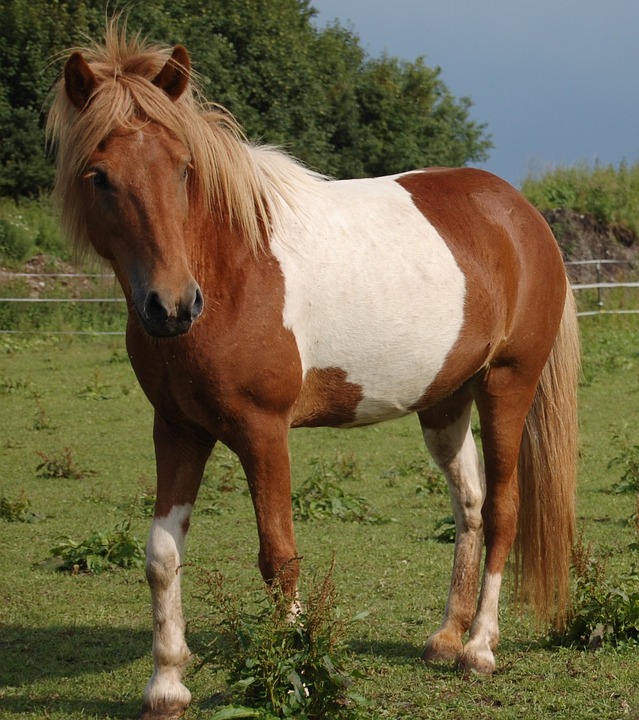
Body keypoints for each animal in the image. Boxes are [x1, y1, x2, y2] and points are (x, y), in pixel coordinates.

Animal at [47, 26, 580, 720]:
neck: (229, 267)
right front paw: (166, 684)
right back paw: (446, 636)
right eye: (100, 177)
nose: (173, 306)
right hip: (444, 402)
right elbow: (162, 554)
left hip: (506, 385)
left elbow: (279, 556)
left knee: (505, 510)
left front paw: (298, 676)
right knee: (470, 504)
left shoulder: (262, 431)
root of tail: (522, 214)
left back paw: (481, 648)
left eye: (184, 170)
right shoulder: (177, 428)